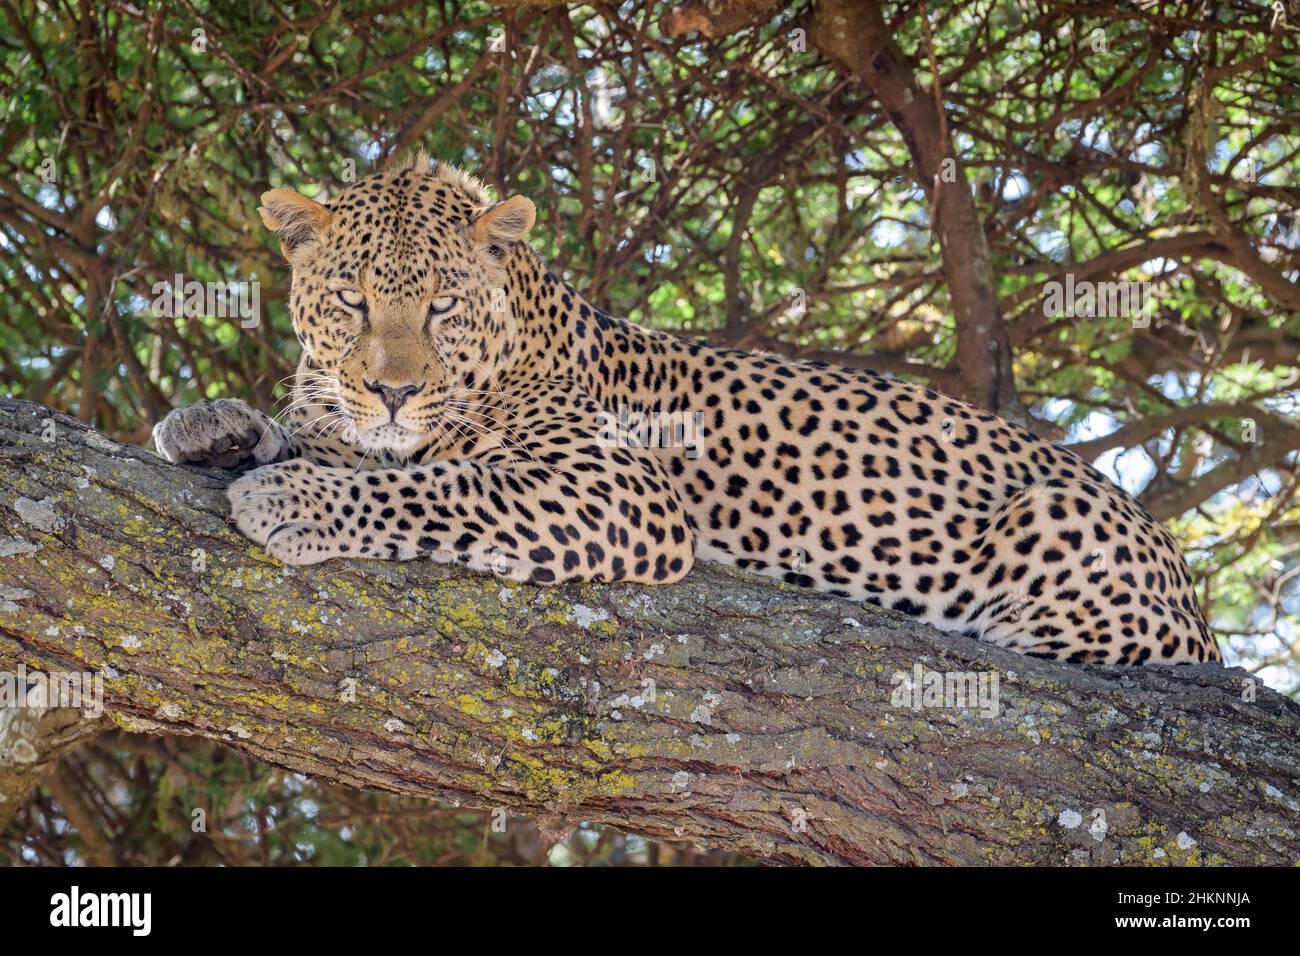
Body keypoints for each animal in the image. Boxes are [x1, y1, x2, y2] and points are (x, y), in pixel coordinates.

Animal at [152, 154, 1219, 666]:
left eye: (444, 307)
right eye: (351, 301)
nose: (394, 388)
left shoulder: (610, 488)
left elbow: (438, 486)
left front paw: (293, 500)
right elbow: (324, 436)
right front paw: (210, 424)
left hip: (1055, 526)